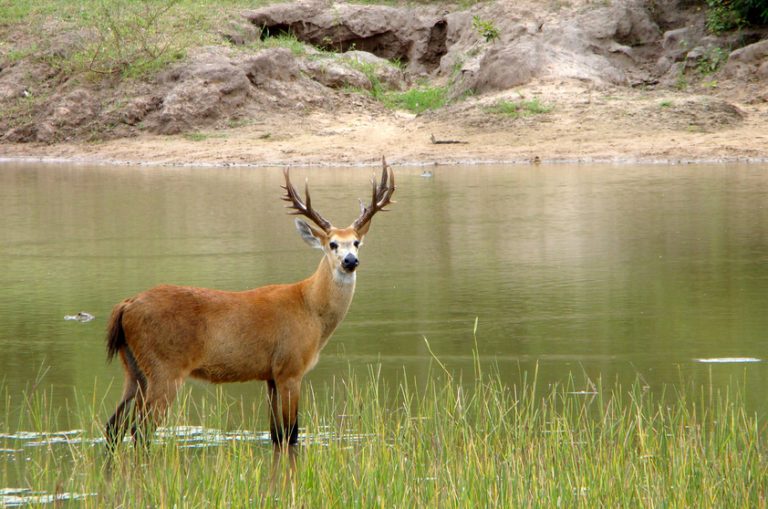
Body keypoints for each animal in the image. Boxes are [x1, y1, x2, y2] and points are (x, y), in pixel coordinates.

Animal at [104, 158, 395, 448]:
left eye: (356, 242)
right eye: (332, 244)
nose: (350, 260)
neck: (311, 310)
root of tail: (126, 306)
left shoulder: (270, 375)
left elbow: (277, 436)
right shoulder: (290, 367)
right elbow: (292, 434)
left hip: (134, 370)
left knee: (113, 427)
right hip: (164, 368)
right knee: (140, 431)